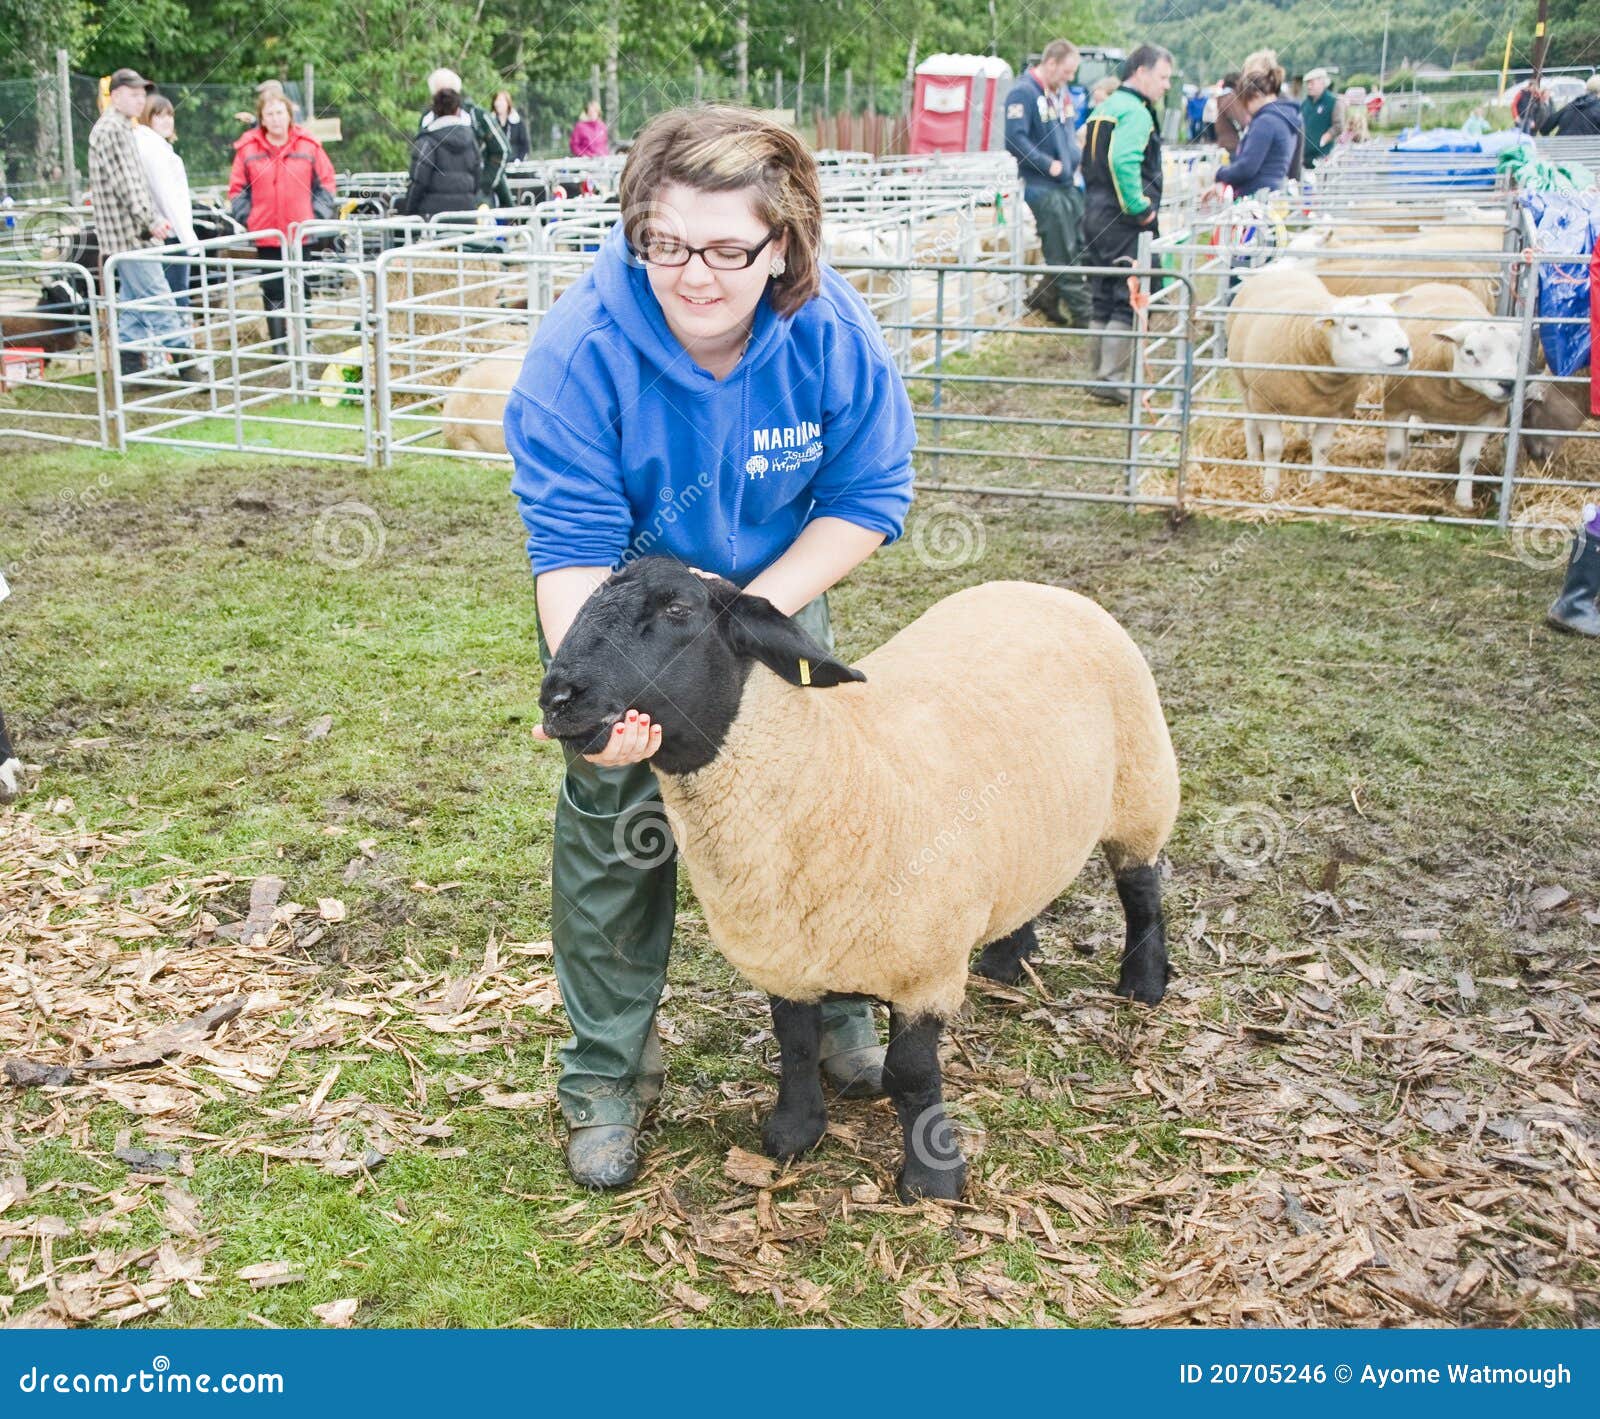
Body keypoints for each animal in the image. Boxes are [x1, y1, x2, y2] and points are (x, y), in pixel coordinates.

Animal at [538, 558, 1179, 1201]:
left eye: (678, 610)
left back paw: (1142, 983)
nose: (556, 698)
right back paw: (1006, 958)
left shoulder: (927, 972)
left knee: (1141, 889)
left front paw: (932, 1178)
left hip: (1142, 785)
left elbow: (911, 1074)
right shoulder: (787, 959)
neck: (836, 763)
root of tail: (1037, 588)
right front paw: (795, 1134)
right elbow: (796, 1047)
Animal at [1227, 266, 1412, 498]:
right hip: (1244, 384)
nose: (1403, 350)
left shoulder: (1333, 411)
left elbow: (1322, 448)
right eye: (1353, 327)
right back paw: (1254, 457)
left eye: (1395, 320)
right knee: (1250, 420)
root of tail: (1280, 266)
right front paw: (1271, 485)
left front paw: (1316, 484)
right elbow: (1273, 448)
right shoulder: (1265, 405)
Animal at [1379, 284, 1520, 511]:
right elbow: (1394, 451)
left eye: (1516, 351)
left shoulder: (1489, 417)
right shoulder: (1396, 404)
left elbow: (1470, 458)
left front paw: (1464, 500)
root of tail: (1442, 285)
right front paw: (1387, 483)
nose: (1507, 384)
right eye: (1469, 352)